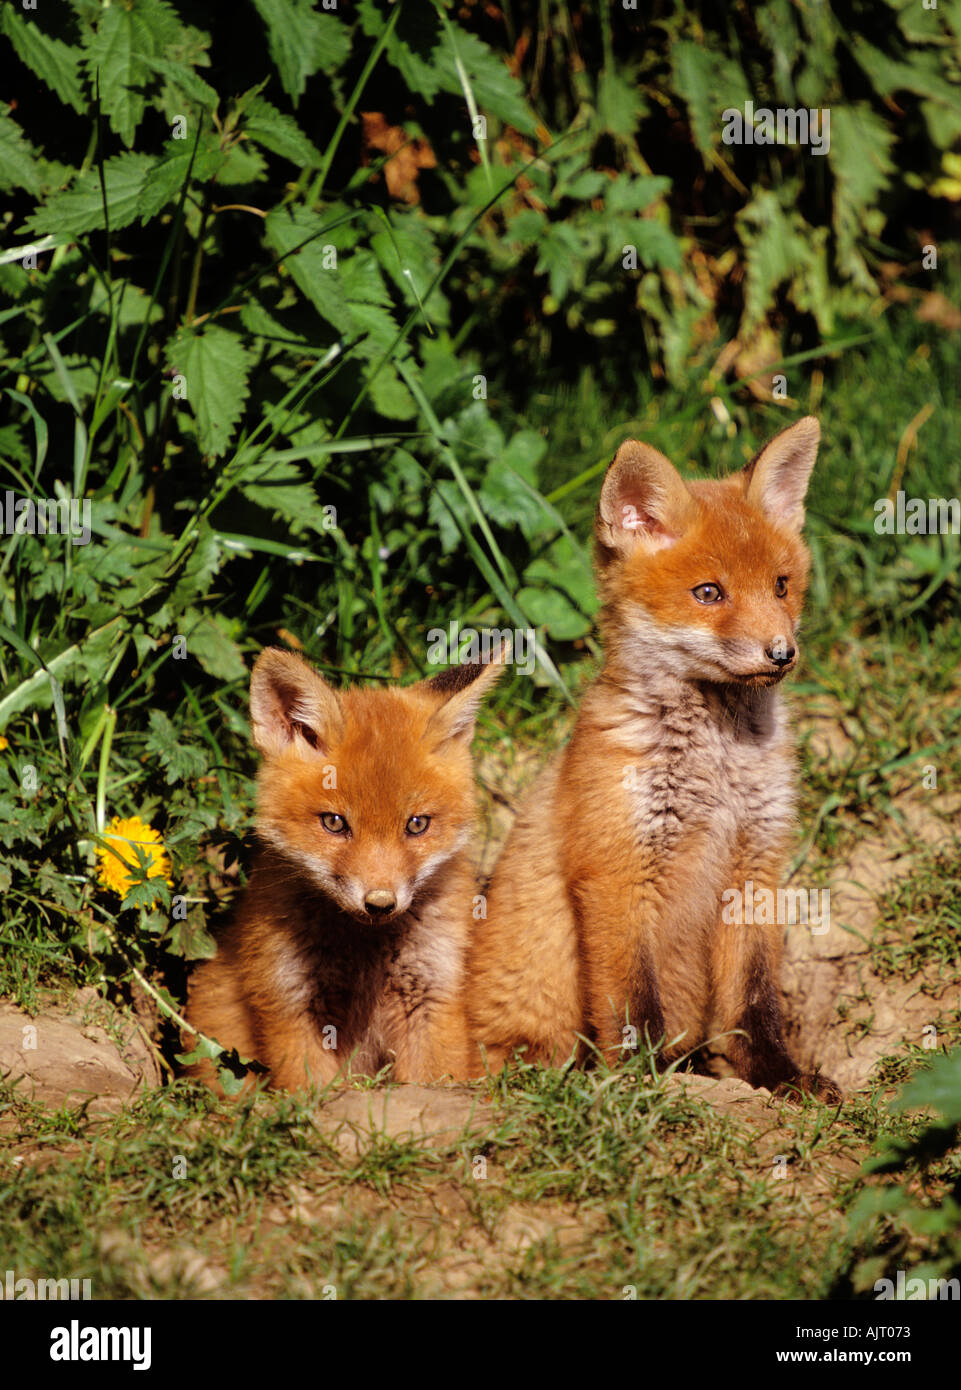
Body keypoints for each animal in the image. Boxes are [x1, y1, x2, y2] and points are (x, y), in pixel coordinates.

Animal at [184, 645, 503, 1095]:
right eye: (334, 823)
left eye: (416, 825)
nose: (380, 903)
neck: (363, 951)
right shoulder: (290, 1001)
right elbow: (310, 1089)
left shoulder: (433, 993)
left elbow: (434, 1081)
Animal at [467, 416, 841, 1102]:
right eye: (709, 593)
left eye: (781, 585)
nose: (782, 653)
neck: (718, 768)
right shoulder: (616, 872)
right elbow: (632, 1003)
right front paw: (646, 1083)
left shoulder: (756, 867)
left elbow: (753, 1004)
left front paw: (780, 1079)